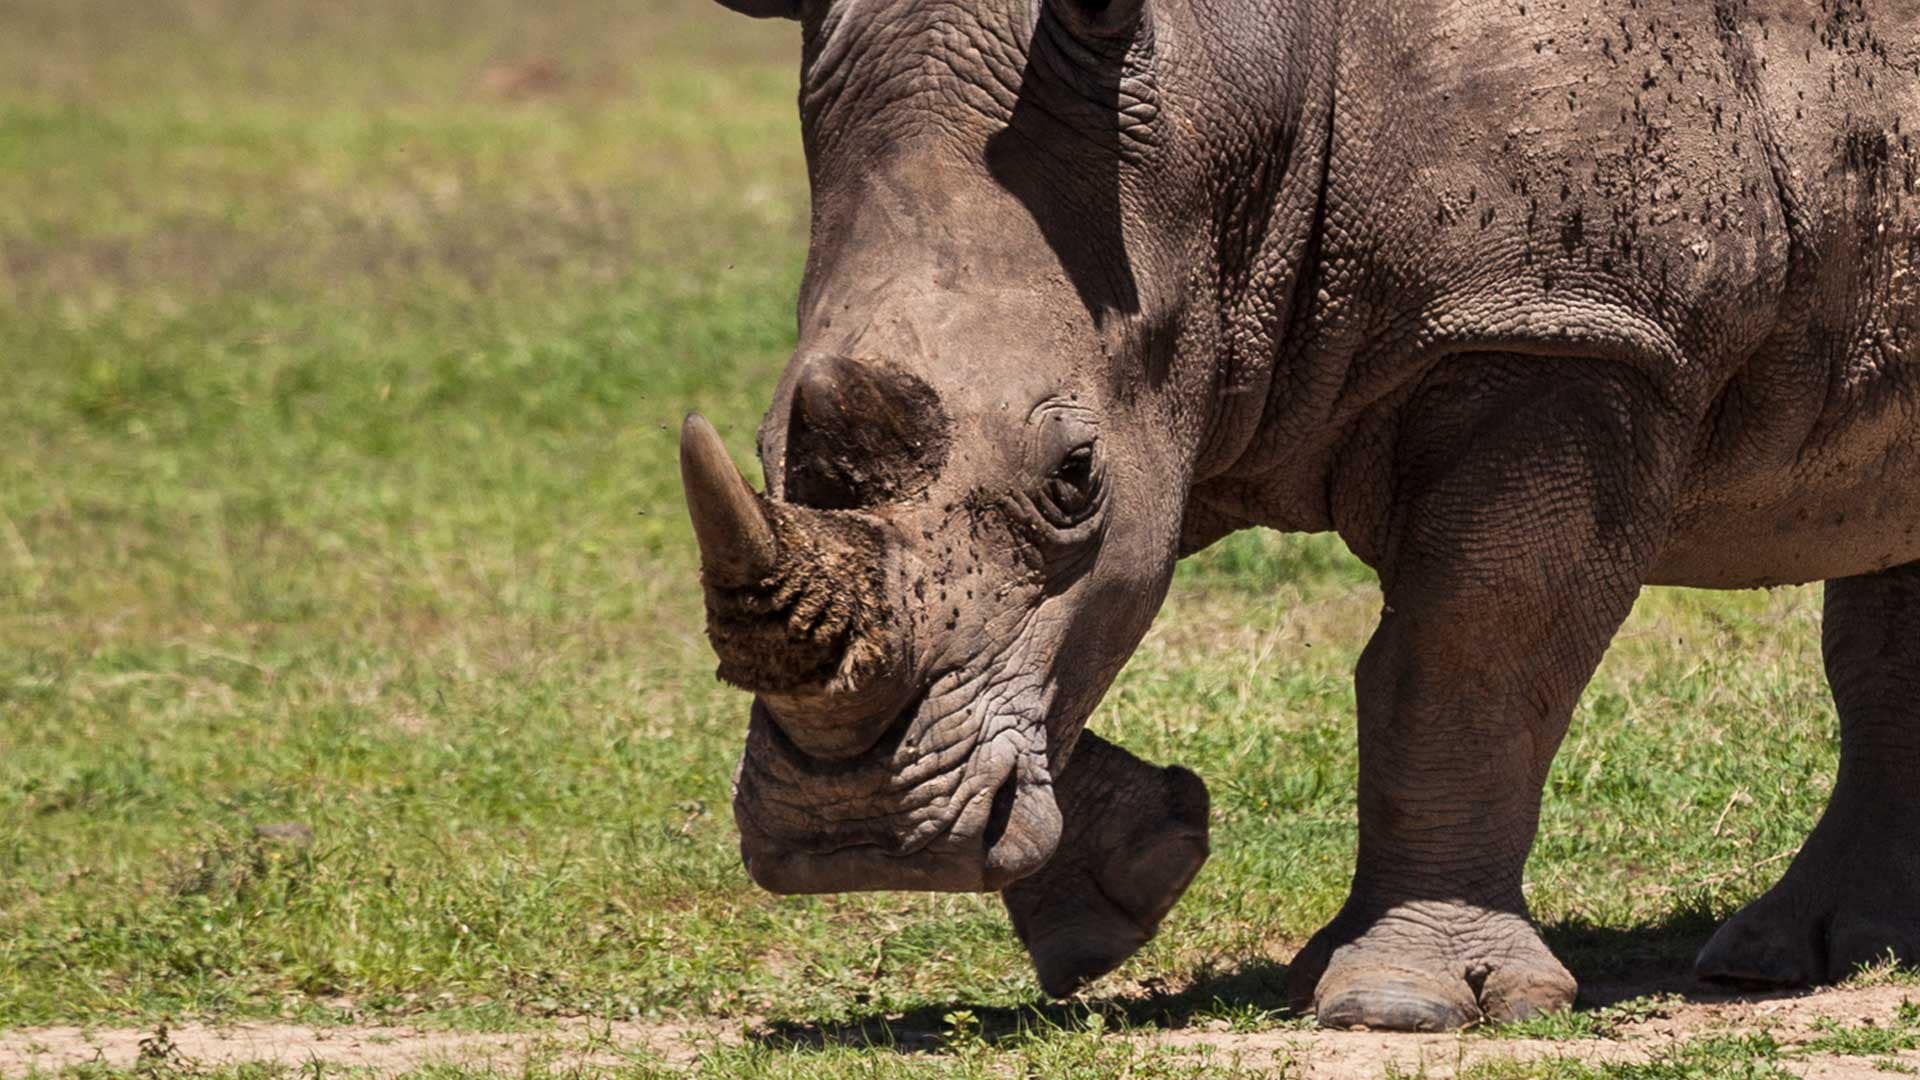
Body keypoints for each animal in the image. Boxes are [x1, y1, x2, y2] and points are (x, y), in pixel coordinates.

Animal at [677, 0, 1920, 1031]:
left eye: (1074, 476)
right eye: (761, 451)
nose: (846, 839)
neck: (1220, 105)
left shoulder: (1568, 327)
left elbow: (1461, 662)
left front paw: (1404, 1005)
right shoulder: (1204, 366)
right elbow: (1082, 631)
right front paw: (1132, 883)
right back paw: (1802, 957)